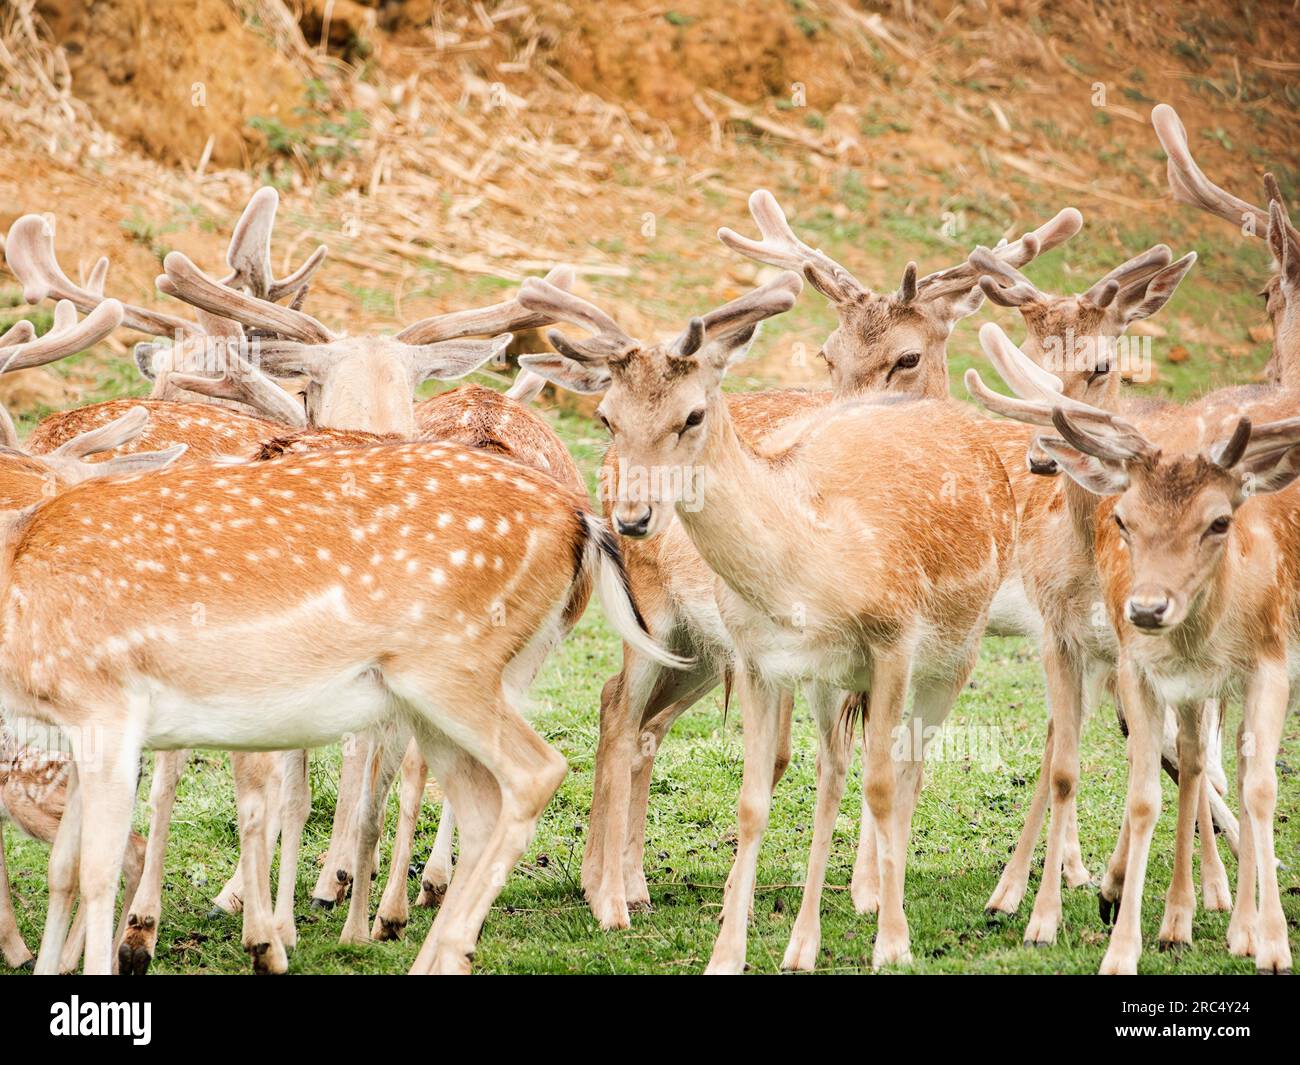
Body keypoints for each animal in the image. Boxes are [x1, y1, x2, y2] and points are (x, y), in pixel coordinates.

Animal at [517, 270, 1021, 971]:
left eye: (693, 414)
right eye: (606, 415)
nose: (634, 517)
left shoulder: (892, 644)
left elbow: (880, 785)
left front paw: (890, 942)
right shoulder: (760, 659)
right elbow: (754, 798)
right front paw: (727, 952)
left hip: (948, 655)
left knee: (896, 768)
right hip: (670, 627)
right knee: (623, 710)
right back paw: (619, 897)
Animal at [565, 188, 1081, 931]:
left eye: (907, 357)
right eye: (827, 353)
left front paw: (869, 890)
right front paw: (852, 893)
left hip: (699, 646)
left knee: (641, 719)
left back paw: (627, 883)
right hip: (652, 612)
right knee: (618, 709)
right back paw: (605, 892)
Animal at [968, 321, 1299, 974]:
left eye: (1219, 521)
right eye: (1122, 519)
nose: (1146, 608)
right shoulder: (1080, 646)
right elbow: (1077, 768)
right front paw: (1041, 911)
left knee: (1213, 763)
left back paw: (1221, 908)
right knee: (1188, 758)